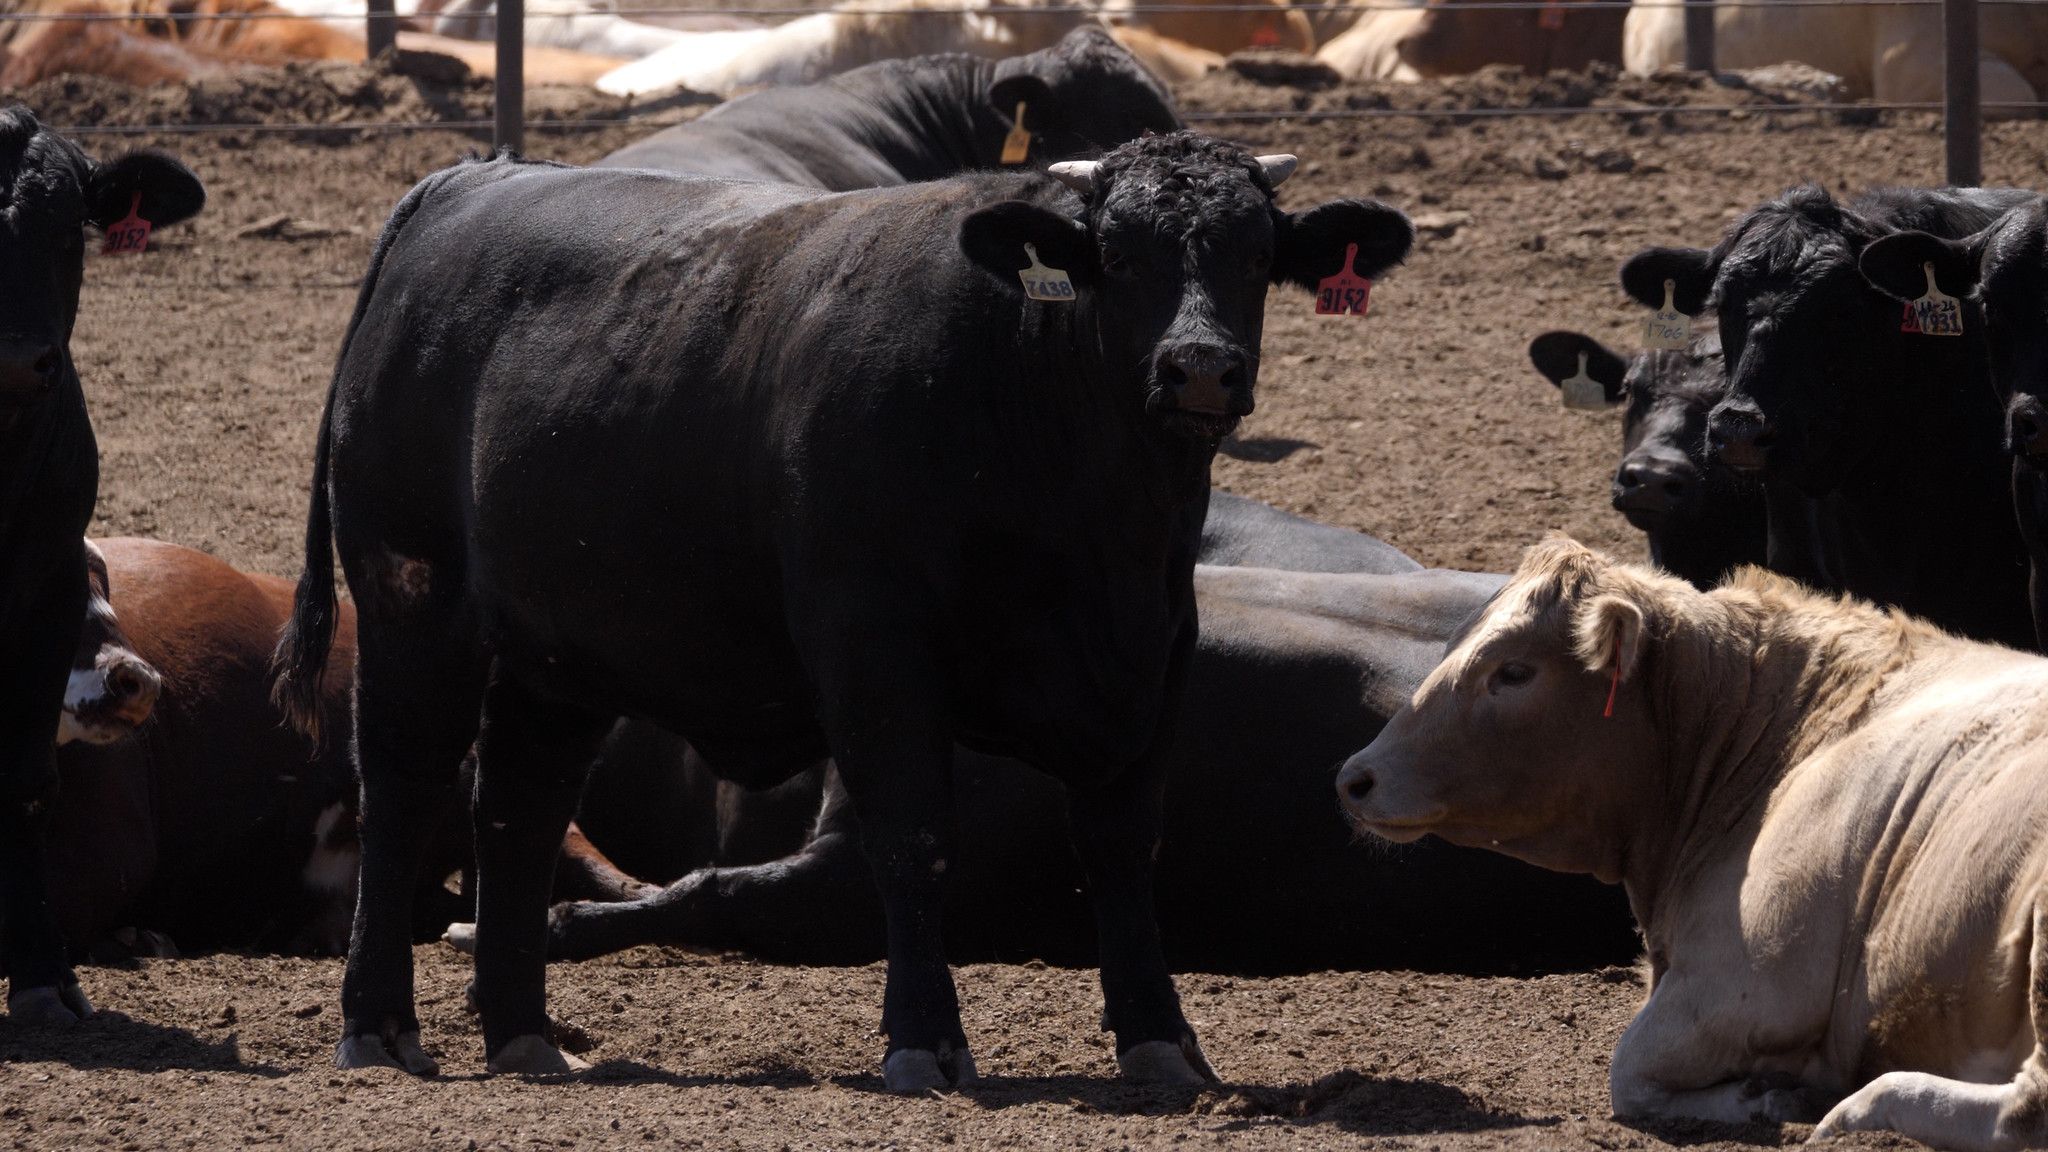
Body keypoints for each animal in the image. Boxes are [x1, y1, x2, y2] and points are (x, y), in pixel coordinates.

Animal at [271, 131, 1414, 1087]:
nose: (1199, 367)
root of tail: (470, 181)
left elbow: (1124, 846)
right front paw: (925, 1041)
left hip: (562, 653)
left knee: (517, 803)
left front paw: (1162, 1042)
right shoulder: (877, 651)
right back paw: (378, 1027)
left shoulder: (1153, 659)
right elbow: (912, 838)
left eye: (1256, 256)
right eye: (1119, 256)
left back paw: (523, 1035)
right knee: (404, 788)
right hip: (414, 599)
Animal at [1339, 536, 2048, 1150]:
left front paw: (1774, 1096)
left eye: (1513, 671)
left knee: (2023, 1109)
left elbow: (1629, 1071)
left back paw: (1860, 1106)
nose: (1355, 778)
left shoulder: (1749, 978)